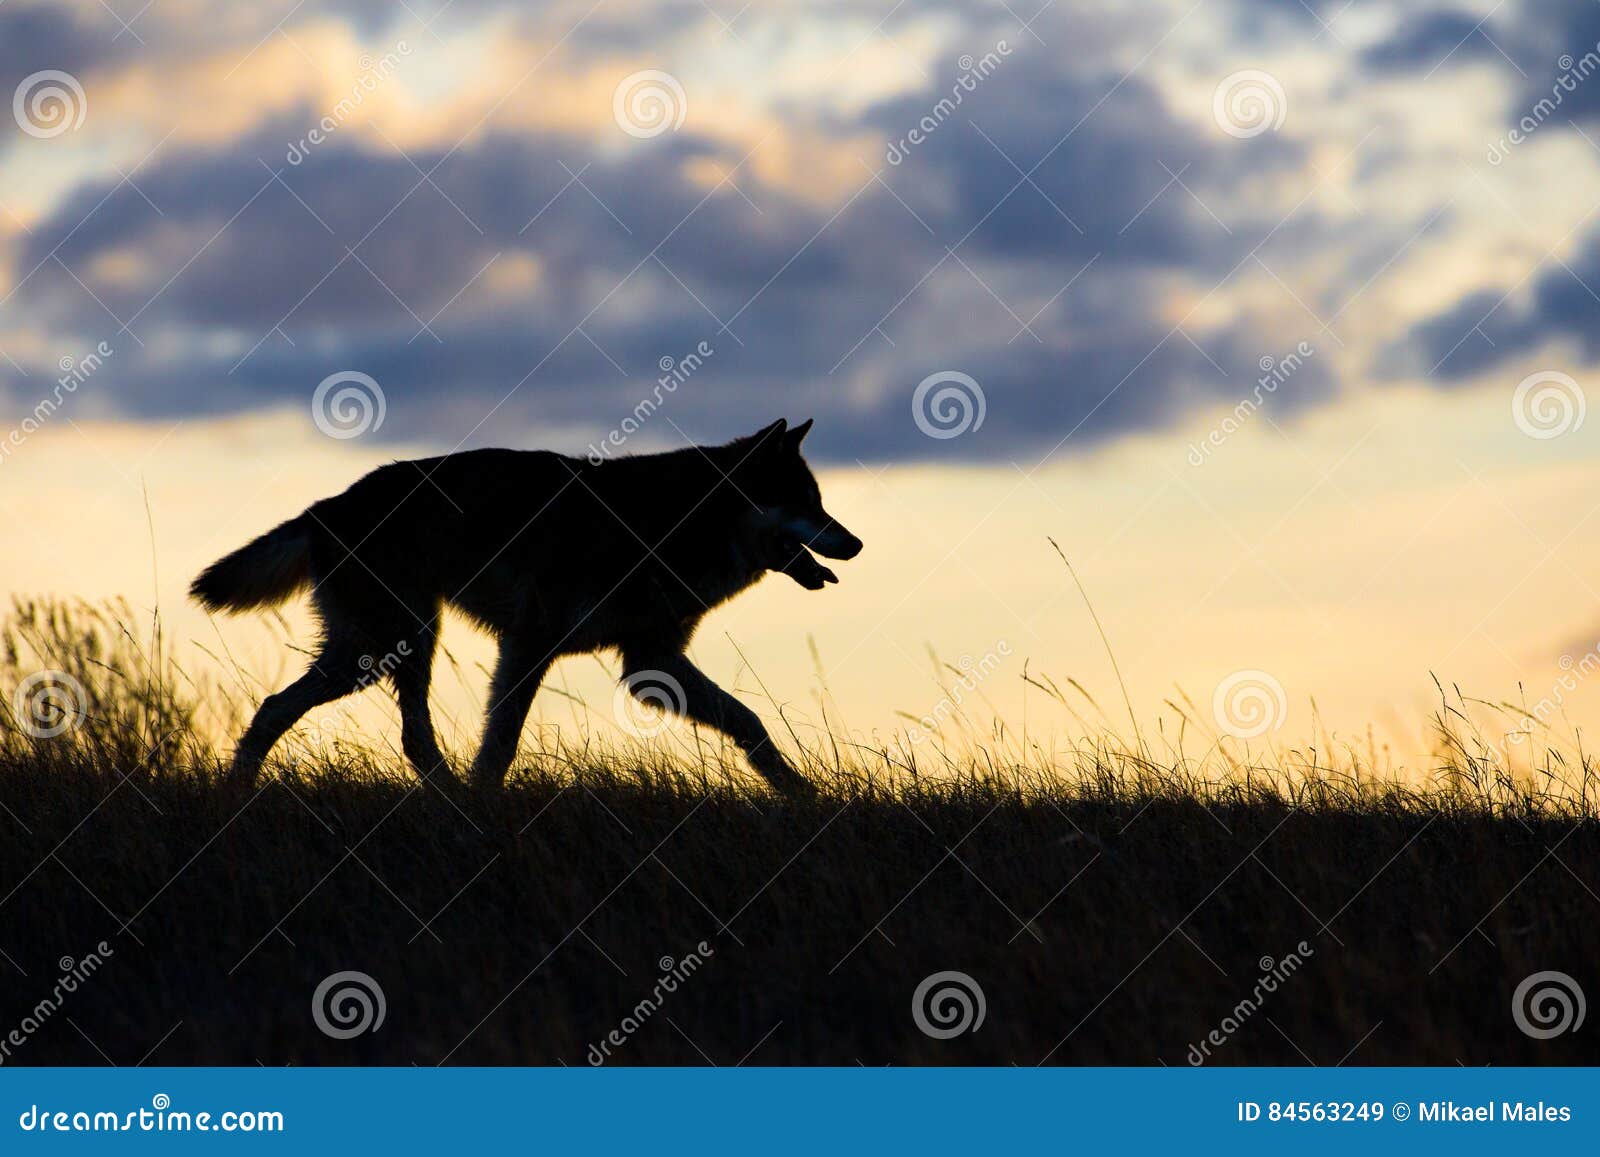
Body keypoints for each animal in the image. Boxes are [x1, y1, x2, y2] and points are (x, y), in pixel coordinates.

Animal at [189, 419, 861, 797]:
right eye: (807, 502)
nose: (854, 544)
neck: (673, 524)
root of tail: (325, 506)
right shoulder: (531, 643)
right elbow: (501, 742)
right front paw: (488, 805)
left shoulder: (651, 663)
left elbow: (752, 724)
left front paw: (800, 794)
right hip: (396, 644)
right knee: (395, 733)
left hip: (377, 650)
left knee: (284, 711)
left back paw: (241, 792)